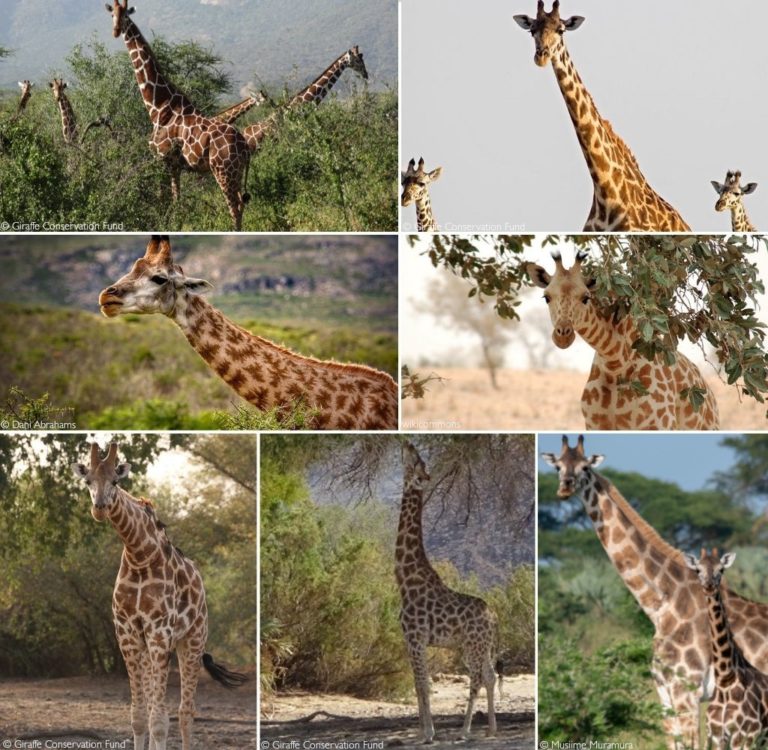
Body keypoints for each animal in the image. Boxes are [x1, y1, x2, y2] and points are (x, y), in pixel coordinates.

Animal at [71, 442, 247, 750]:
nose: (100, 508)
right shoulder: (127, 632)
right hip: (154, 646)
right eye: (88, 481)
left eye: (115, 481)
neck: (138, 554)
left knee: (186, 712)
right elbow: (140, 716)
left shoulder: (159, 629)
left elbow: (160, 720)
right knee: (159, 707)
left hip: (192, 641)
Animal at [105, 0, 251, 230]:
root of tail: (245, 146)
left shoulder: (164, 158)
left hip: (223, 171)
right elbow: (175, 199)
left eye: (125, 15)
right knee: (241, 205)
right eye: (112, 14)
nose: (116, 31)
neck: (159, 106)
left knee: (234, 208)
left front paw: (171, 226)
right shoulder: (175, 165)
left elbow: (168, 200)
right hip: (236, 173)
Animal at [396, 442, 497, 743]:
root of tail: (495, 617)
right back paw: (491, 728)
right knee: (490, 675)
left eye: (417, 462)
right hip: (477, 645)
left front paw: (428, 733)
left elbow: (422, 685)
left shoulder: (416, 637)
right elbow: (418, 684)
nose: (407, 443)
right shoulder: (411, 640)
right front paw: (421, 731)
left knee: (477, 678)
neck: (404, 580)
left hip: (473, 645)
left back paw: (465, 730)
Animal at [526, 251, 719, 430]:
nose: (563, 335)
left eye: (585, 297)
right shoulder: (595, 425)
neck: (615, 363)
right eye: (546, 297)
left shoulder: (661, 424)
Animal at [684, 549, 768, 750]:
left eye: (720, 569)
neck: (724, 679)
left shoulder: (745, 736)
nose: (709, 586)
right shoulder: (716, 736)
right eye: (698, 570)